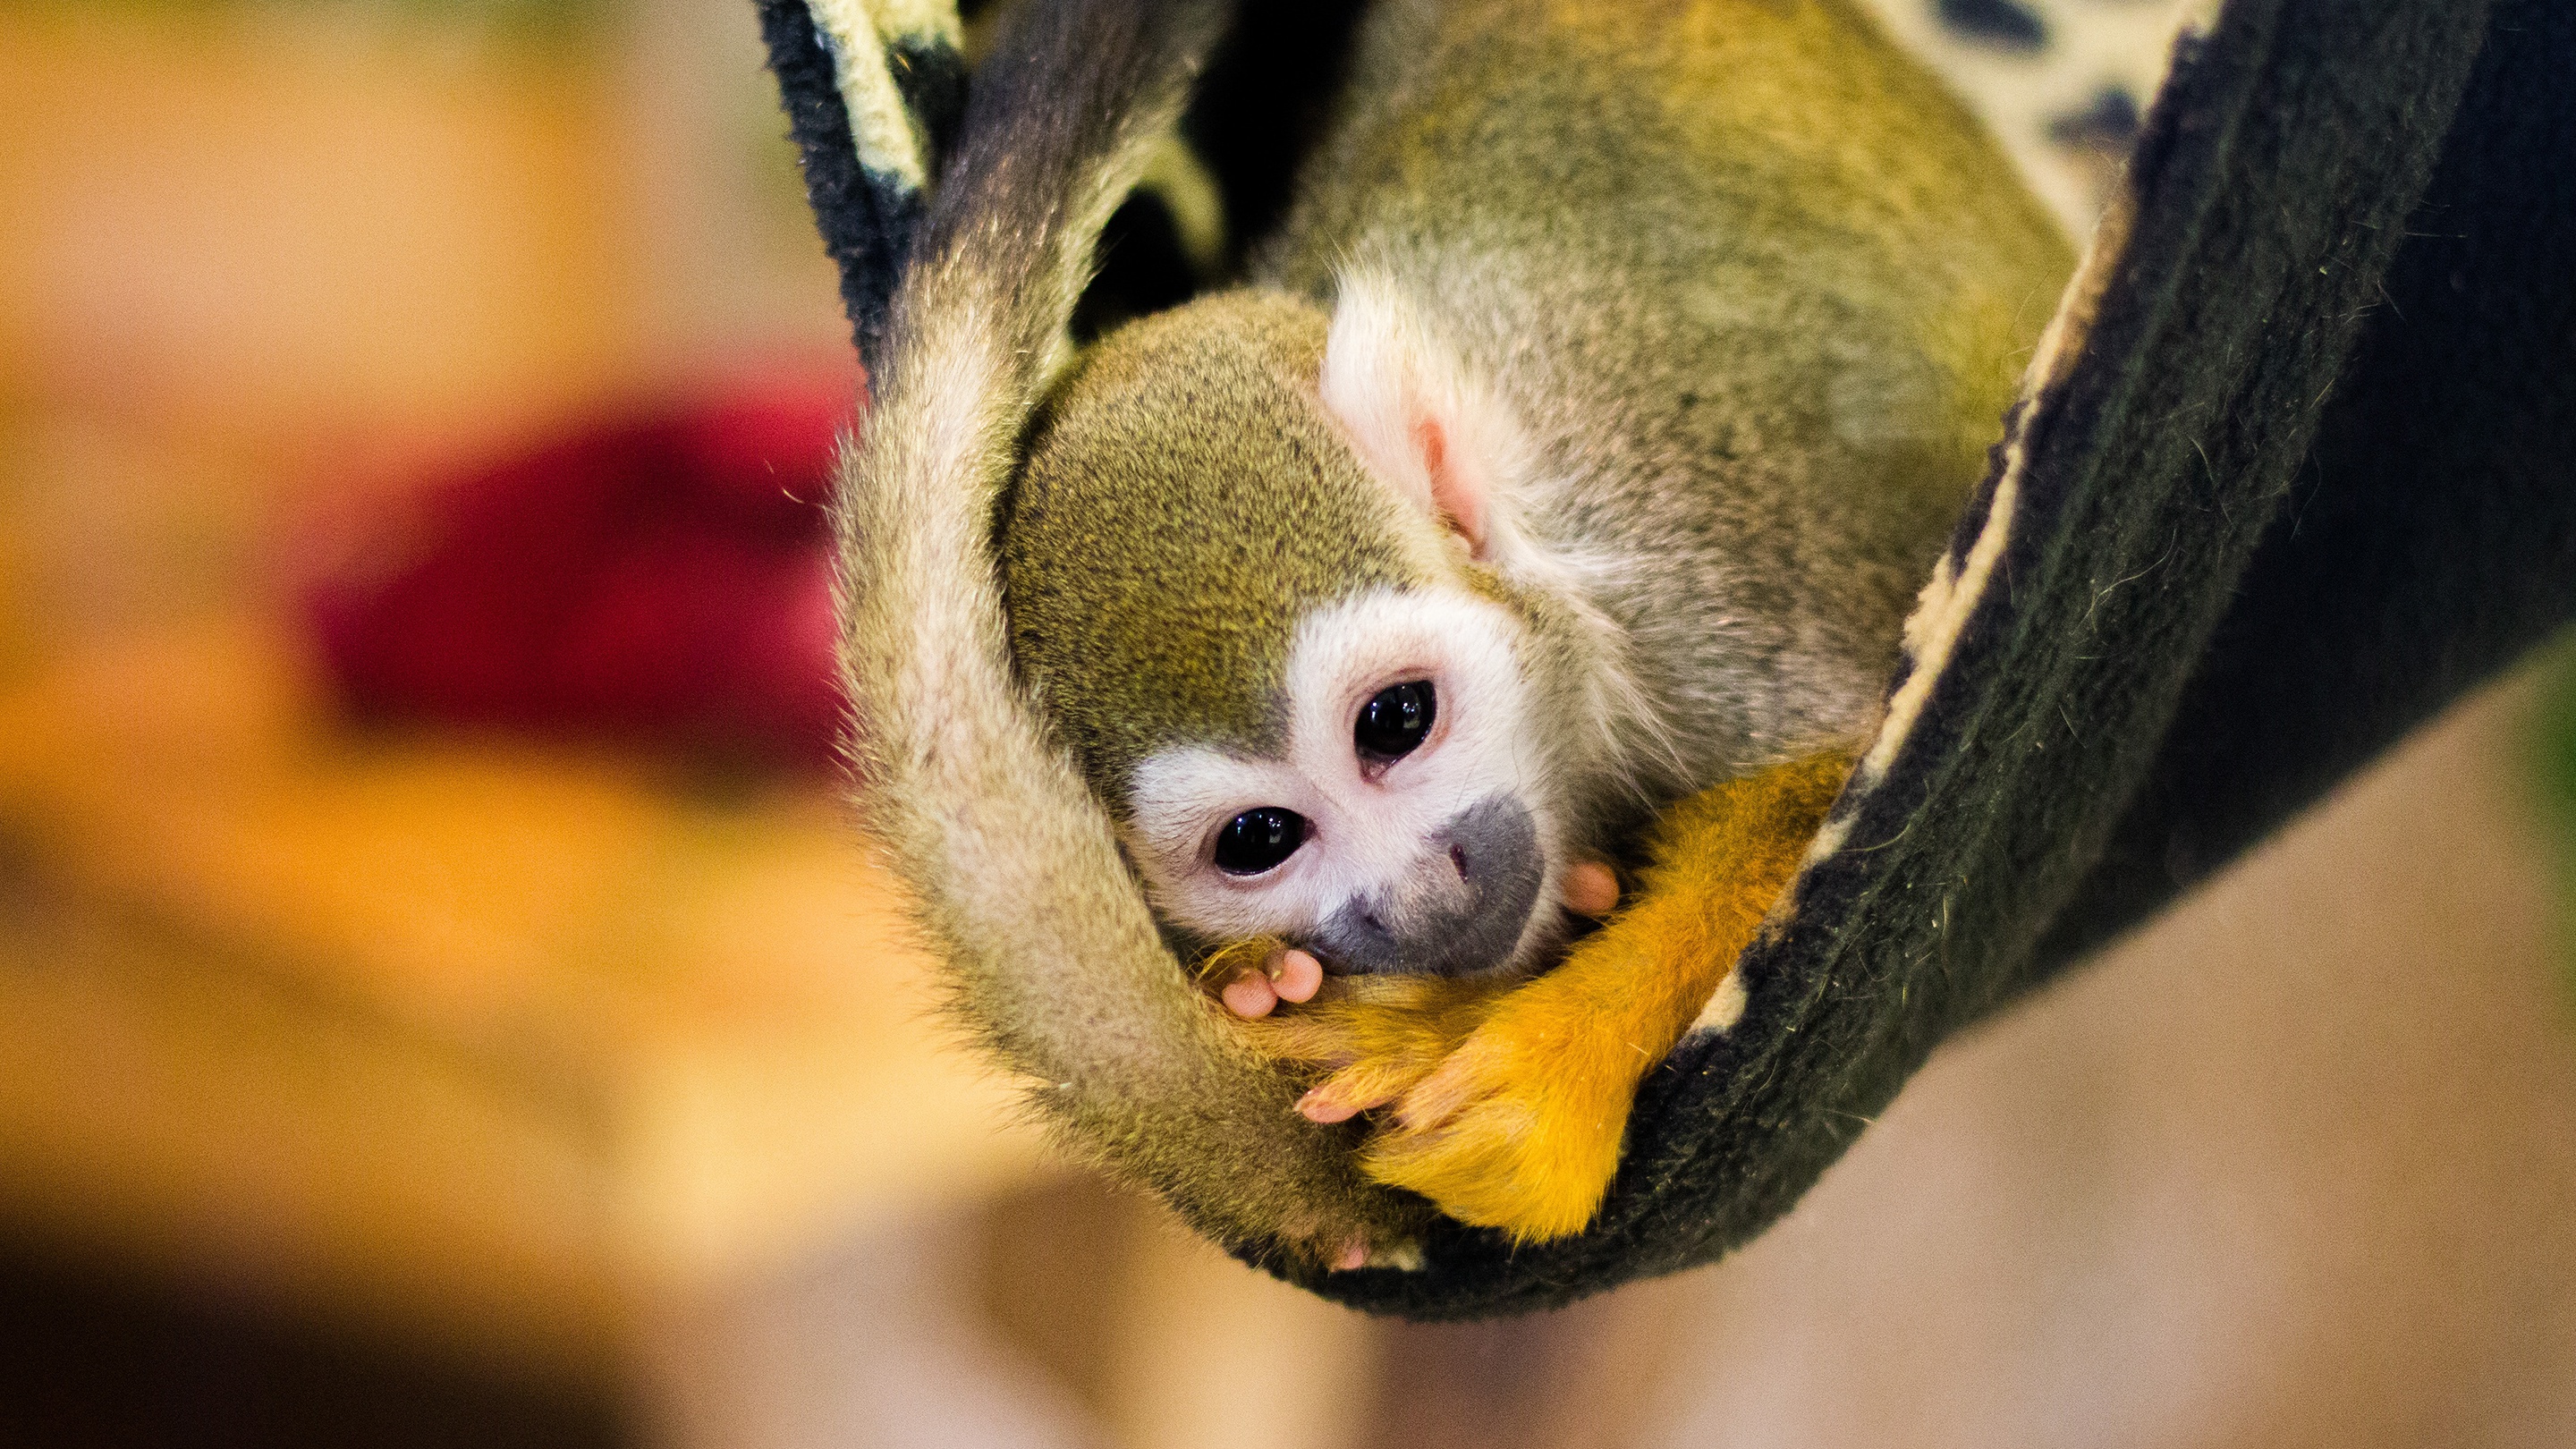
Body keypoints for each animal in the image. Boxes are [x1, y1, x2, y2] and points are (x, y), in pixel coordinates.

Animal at [835, 0, 2072, 1268]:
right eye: (1259, 840)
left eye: (1397, 720)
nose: (1422, 897)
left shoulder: (1686, 555)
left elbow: (1834, 779)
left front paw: (1530, 1062)